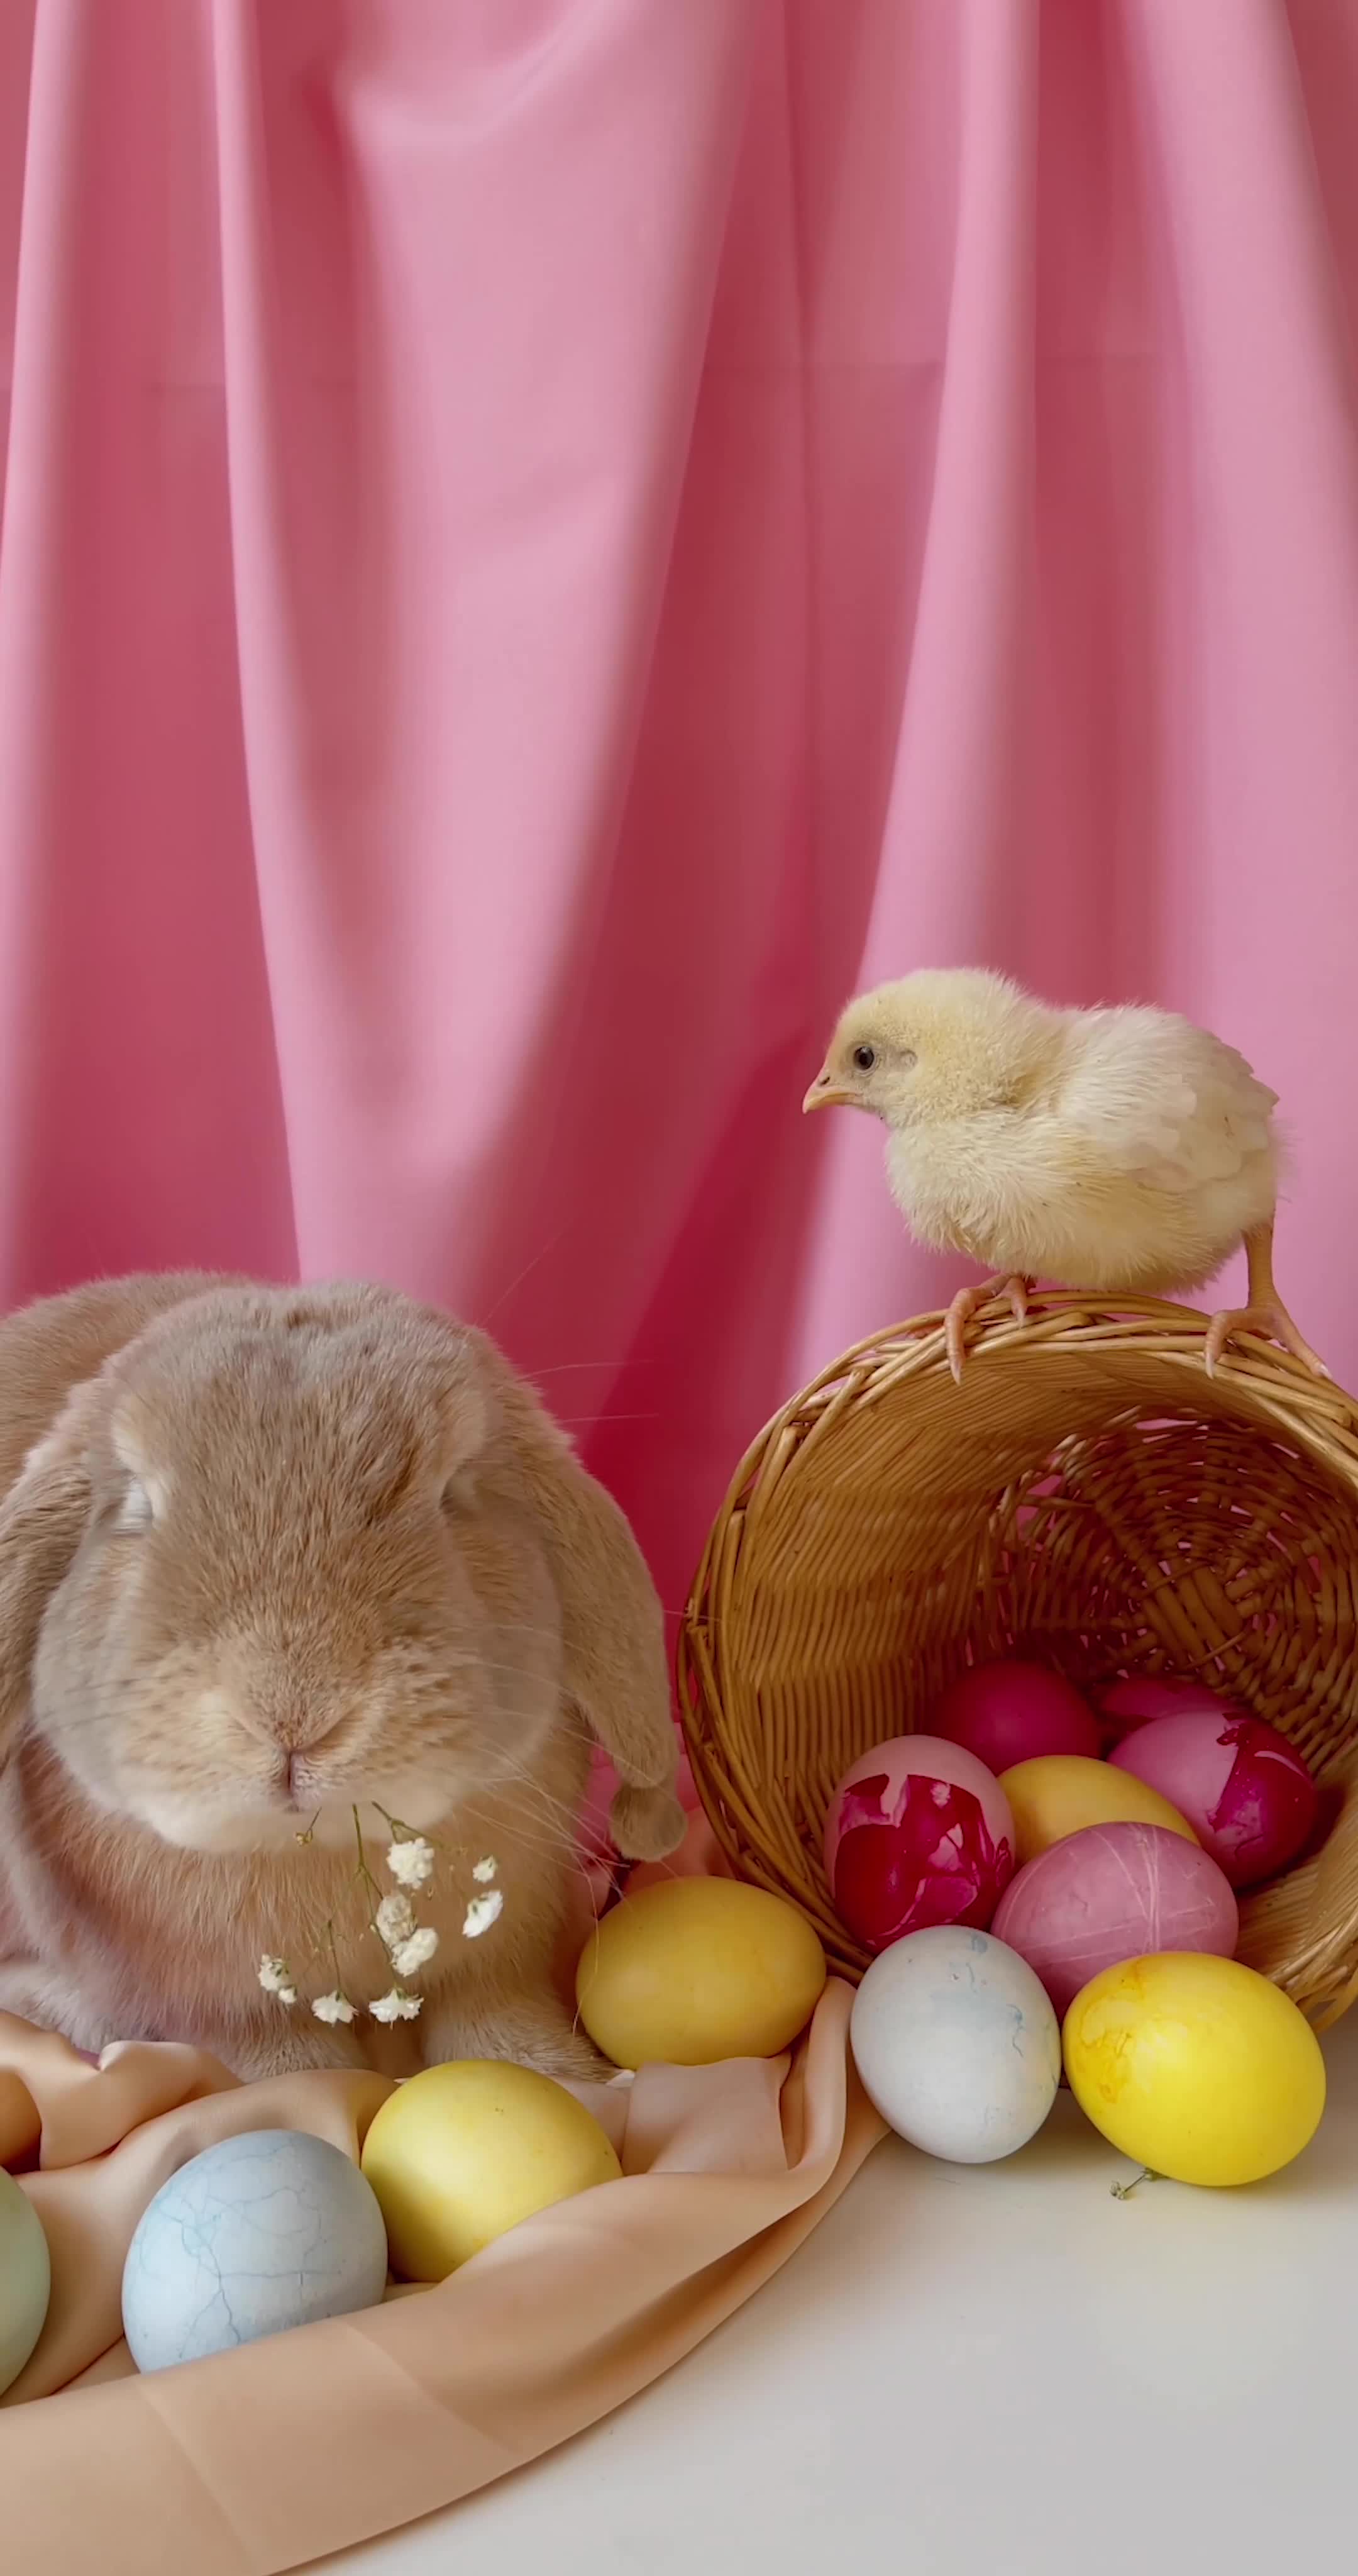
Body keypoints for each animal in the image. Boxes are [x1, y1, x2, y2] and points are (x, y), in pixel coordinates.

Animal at [0, 1273, 685, 2083]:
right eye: (137, 1503)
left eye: (454, 1492)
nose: (293, 1715)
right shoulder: (219, 2003)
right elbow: (282, 2061)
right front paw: (309, 2086)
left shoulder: (500, 1954)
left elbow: (495, 2015)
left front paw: (565, 2074)